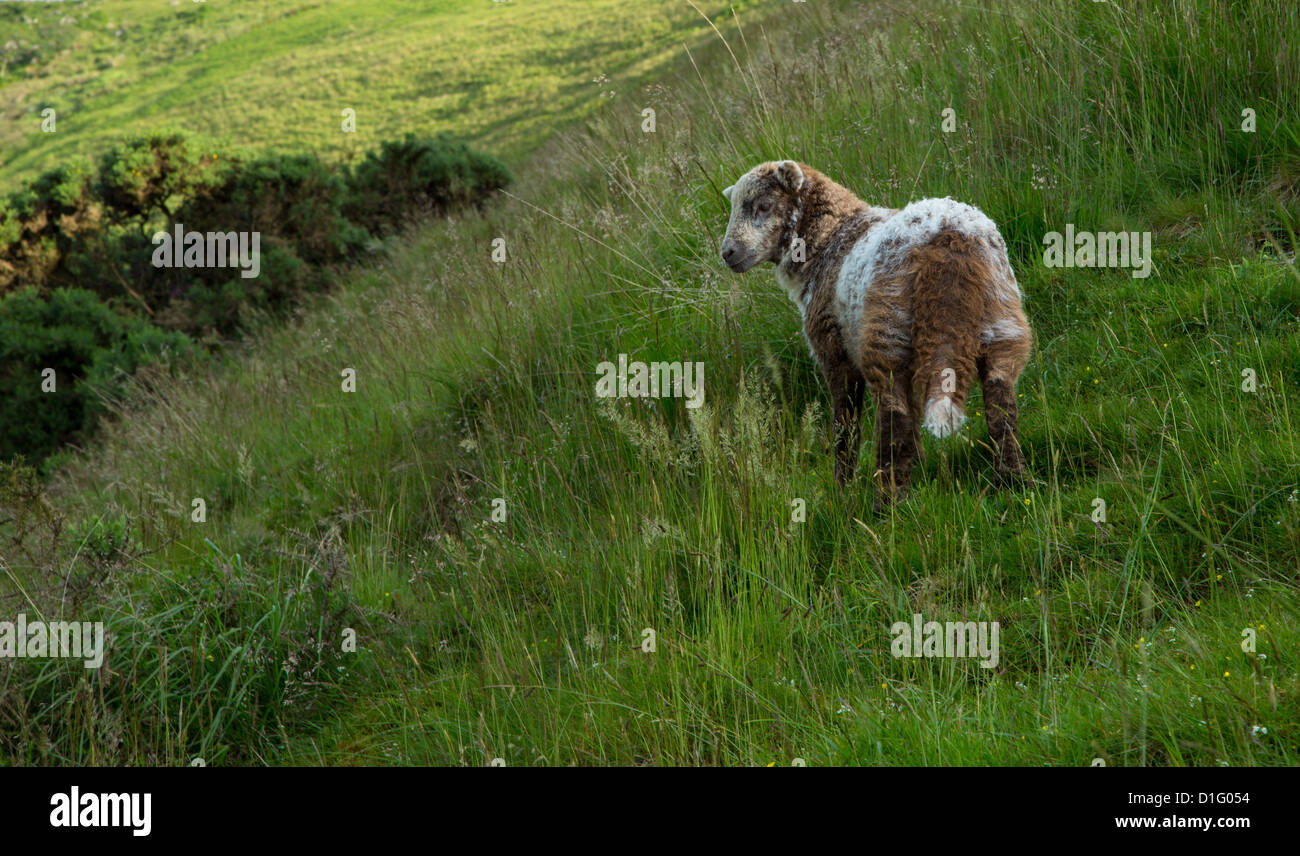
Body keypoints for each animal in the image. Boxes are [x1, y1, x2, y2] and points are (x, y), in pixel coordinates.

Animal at [719, 160, 1032, 507]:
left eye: (764, 205)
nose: (728, 252)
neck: (828, 240)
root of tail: (949, 240)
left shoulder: (835, 353)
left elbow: (846, 424)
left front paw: (842, 488)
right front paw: (919, 468)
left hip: (888, 329)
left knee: (895, 414)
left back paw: (887, 501)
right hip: (1001, 318)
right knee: (1000, 400)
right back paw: (1013, 480)